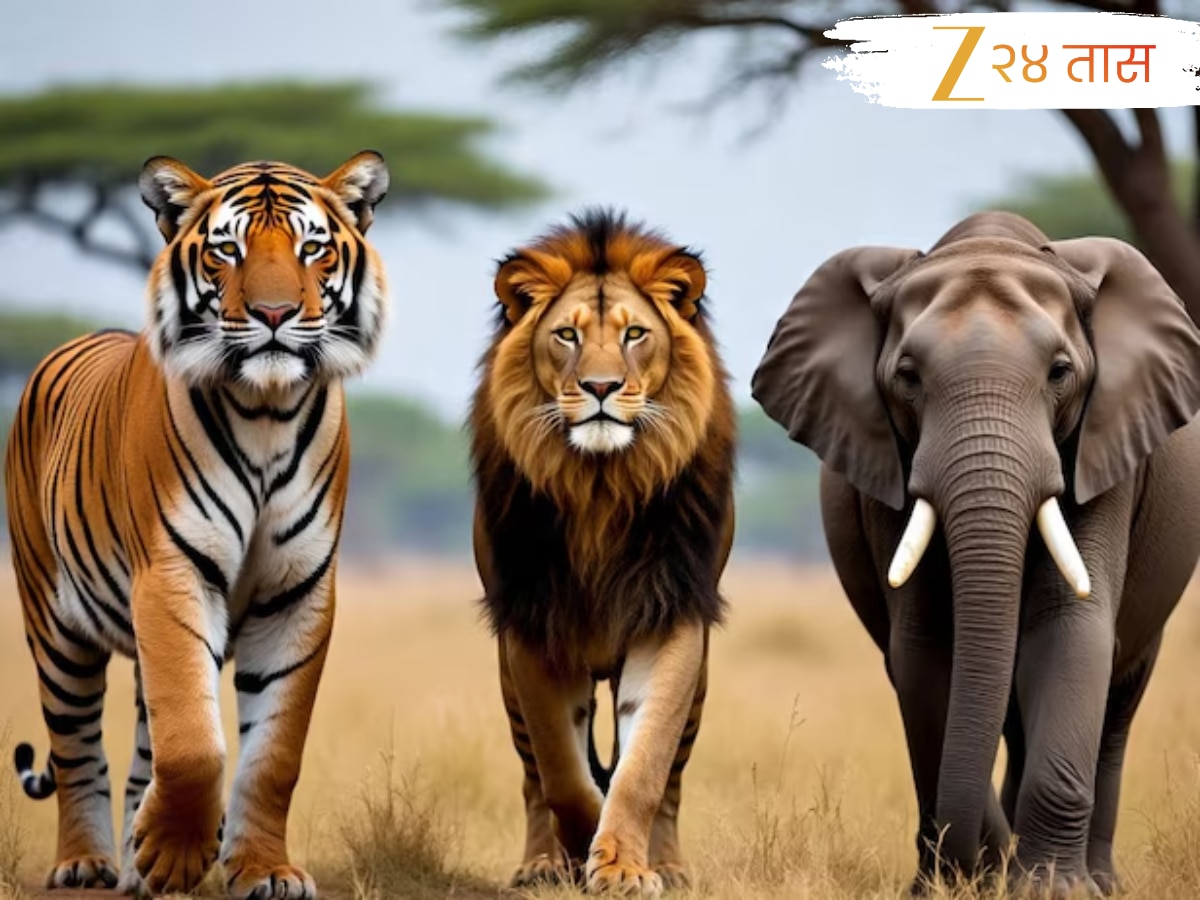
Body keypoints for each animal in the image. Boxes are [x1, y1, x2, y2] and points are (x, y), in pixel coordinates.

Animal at [467, 207, 737, 896]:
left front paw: (622, 866)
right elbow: (563, 774)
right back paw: (541, 864)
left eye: (635, 333)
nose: (599, 386)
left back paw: (667, 865)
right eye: (566, 335)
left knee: (670, 779)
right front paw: (580, 846)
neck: (599, 485)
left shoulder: (670, 616)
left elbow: (641, 771)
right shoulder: (532, 626)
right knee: (533, 776)